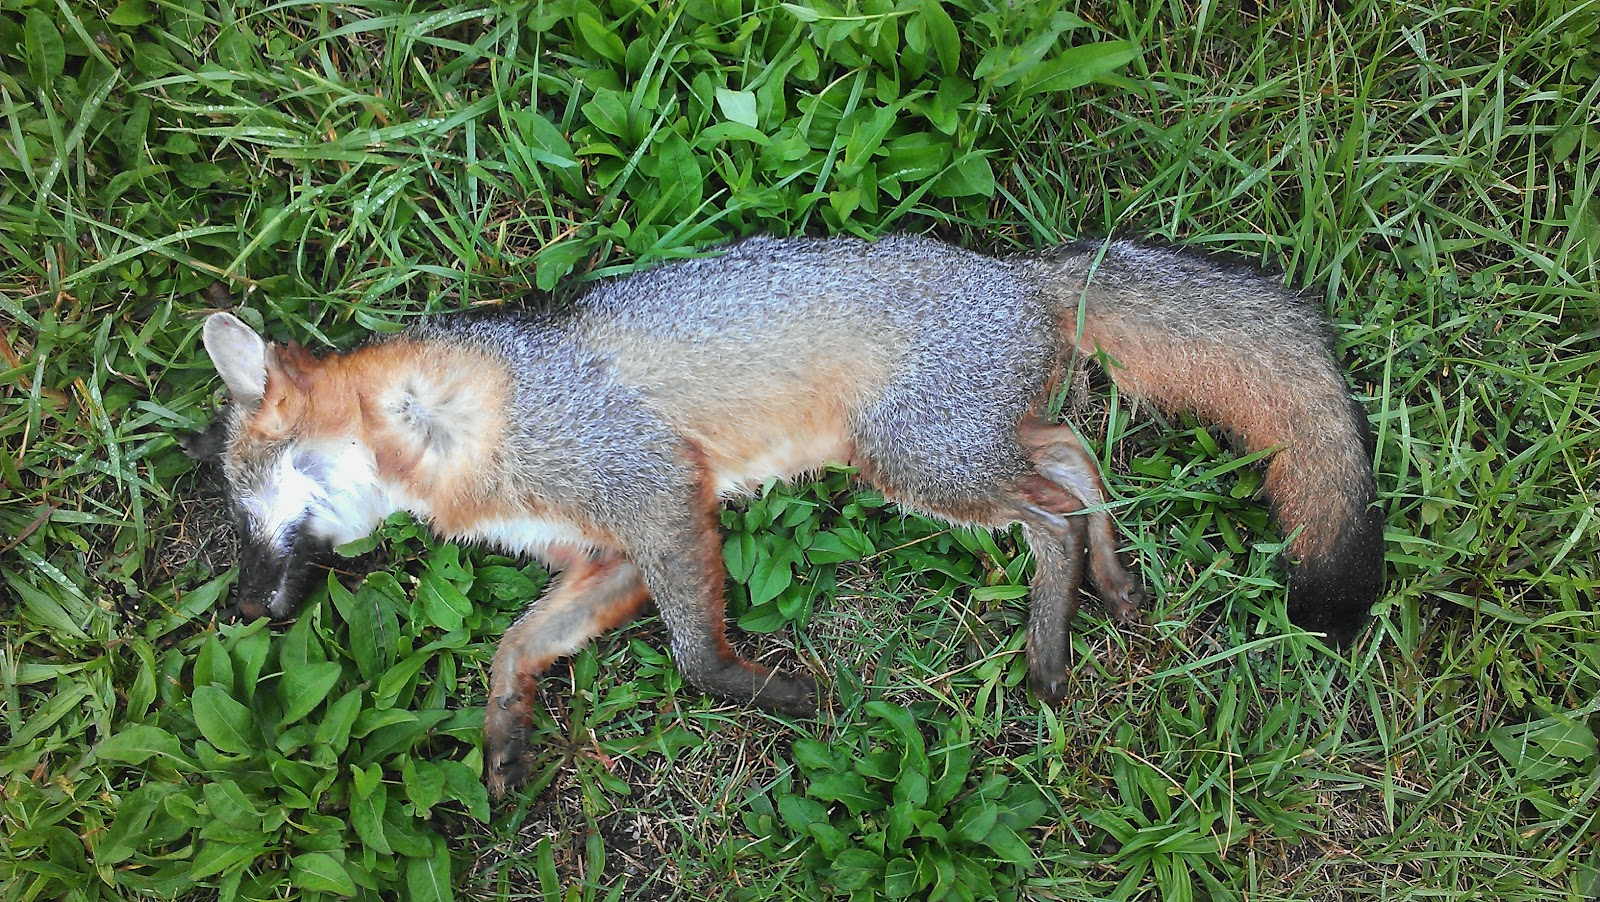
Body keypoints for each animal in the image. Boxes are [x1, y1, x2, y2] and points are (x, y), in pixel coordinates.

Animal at [181, 234, 1384, 796]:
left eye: (243, 509)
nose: (243, 606)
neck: (439, 427)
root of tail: (1021, 271)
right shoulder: (609, 557)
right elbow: (510, 647)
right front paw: (504, 738)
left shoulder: (656, 493)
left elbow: (693, 657)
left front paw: (775, 697)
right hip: (956, 449)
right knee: (1077, 459)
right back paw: (1116, 585)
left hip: (918, 465)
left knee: (1048, 512)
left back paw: (1050, 645)